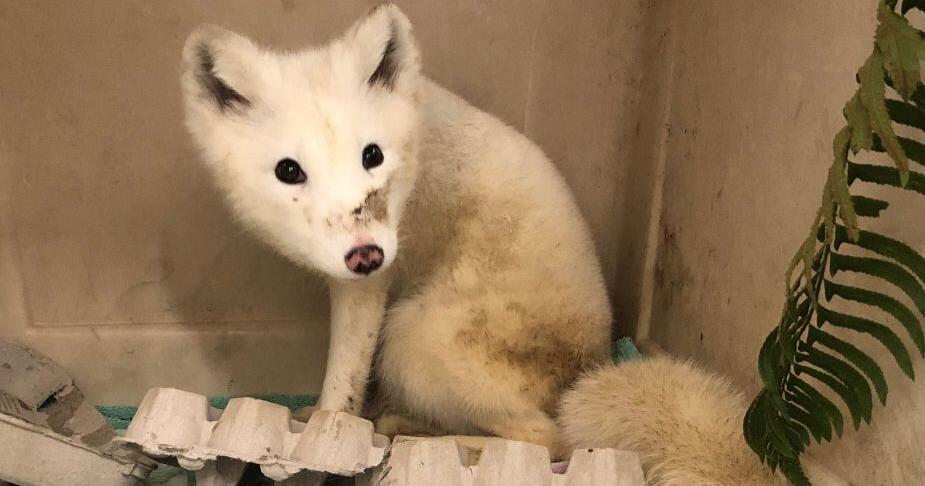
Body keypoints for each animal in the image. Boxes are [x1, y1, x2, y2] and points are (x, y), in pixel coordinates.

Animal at [179, 5, 842, 485]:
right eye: (289, 172)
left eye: (373, 156)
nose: (367, 254)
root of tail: (592, 362)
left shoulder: (370, 294)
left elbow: (339, 382)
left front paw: (323, 431)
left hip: (412, 339)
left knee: (550, 441)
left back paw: (418, 437)